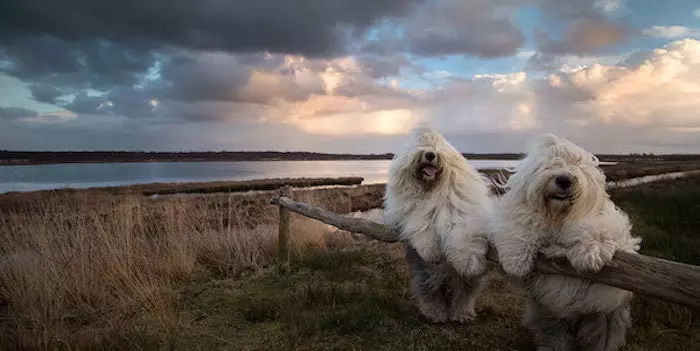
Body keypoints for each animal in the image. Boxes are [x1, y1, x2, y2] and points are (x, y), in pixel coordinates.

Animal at [386, 125, 494, 324]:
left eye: (438, 146)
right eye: (421, 145)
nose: (430, 154)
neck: (433, 189)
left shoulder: (461, 213)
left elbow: (462, 236)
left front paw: (469, 263)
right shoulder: (413, 215)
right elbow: (422, 228)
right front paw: (432, 252)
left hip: (464, 283)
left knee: (463, 294)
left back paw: (462, 314)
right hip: (424, 274)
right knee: (430, 294)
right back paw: (436, 314)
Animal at [492, 133, 640, 350]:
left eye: (577, 164)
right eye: (549, 164)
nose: (564, 179)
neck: (557, 219)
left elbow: (597, 230)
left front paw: (590, 254)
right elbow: (520, 227)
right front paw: (515, 260)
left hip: (603, 324)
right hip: (549, 317)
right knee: (555, 334)